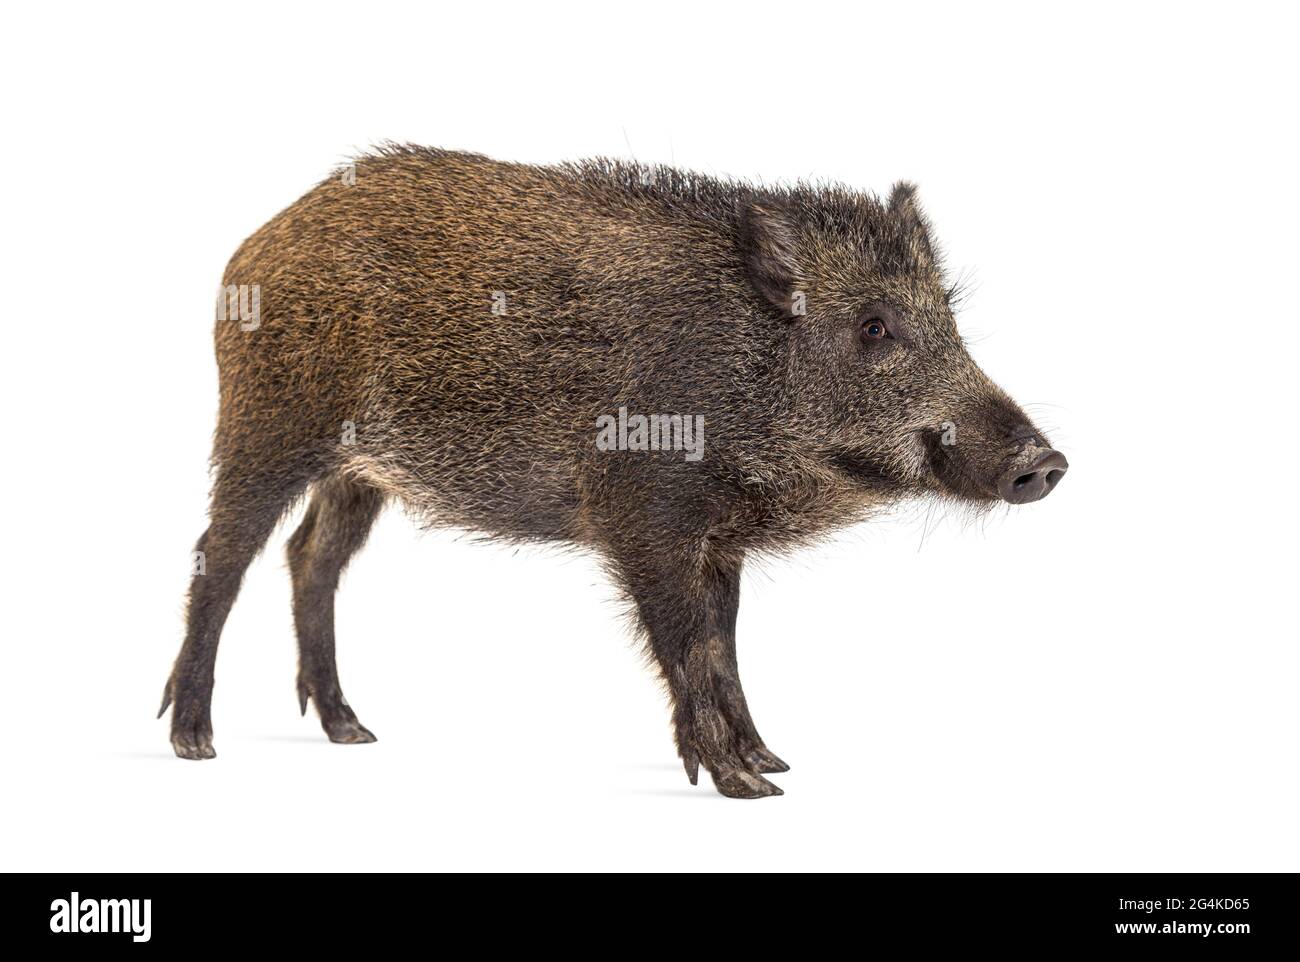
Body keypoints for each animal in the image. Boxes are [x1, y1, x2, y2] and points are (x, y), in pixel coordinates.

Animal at [160, 146, 1068, 798]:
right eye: (875, 327)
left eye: (949, 321)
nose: (1046, 461)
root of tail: (259, 242)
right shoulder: (644, 517)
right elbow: (686, 643)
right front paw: (742, 785)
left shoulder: (718, 539)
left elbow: (724, 642)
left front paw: (770, 762)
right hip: (267, 425)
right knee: (219, 557)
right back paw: (194, 742)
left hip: (359, 470)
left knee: (310, 556)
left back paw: (351, 731)